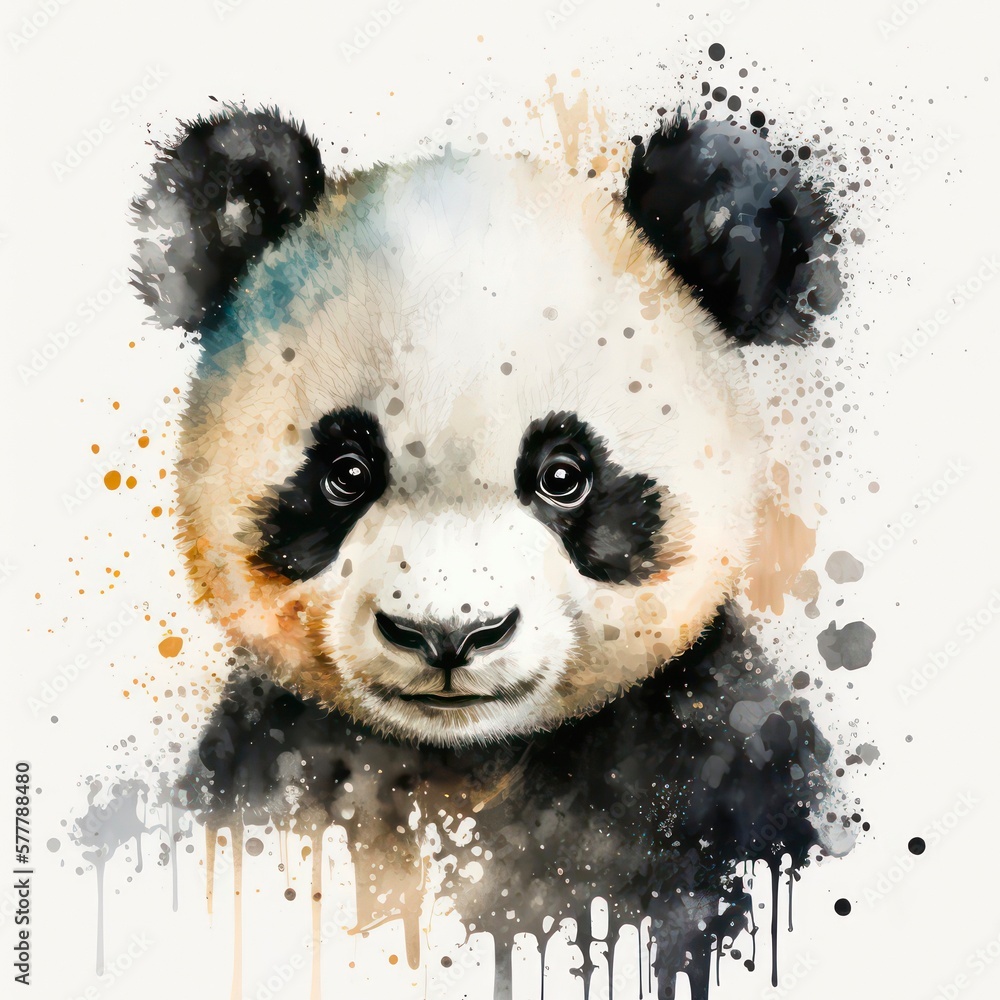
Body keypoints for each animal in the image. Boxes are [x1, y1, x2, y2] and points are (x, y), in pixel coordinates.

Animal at [131, 105, 853, 999]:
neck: (467, 766)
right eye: (346, 471)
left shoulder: (712, 768)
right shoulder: (272, 768)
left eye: (564, 476)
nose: (447, 636)